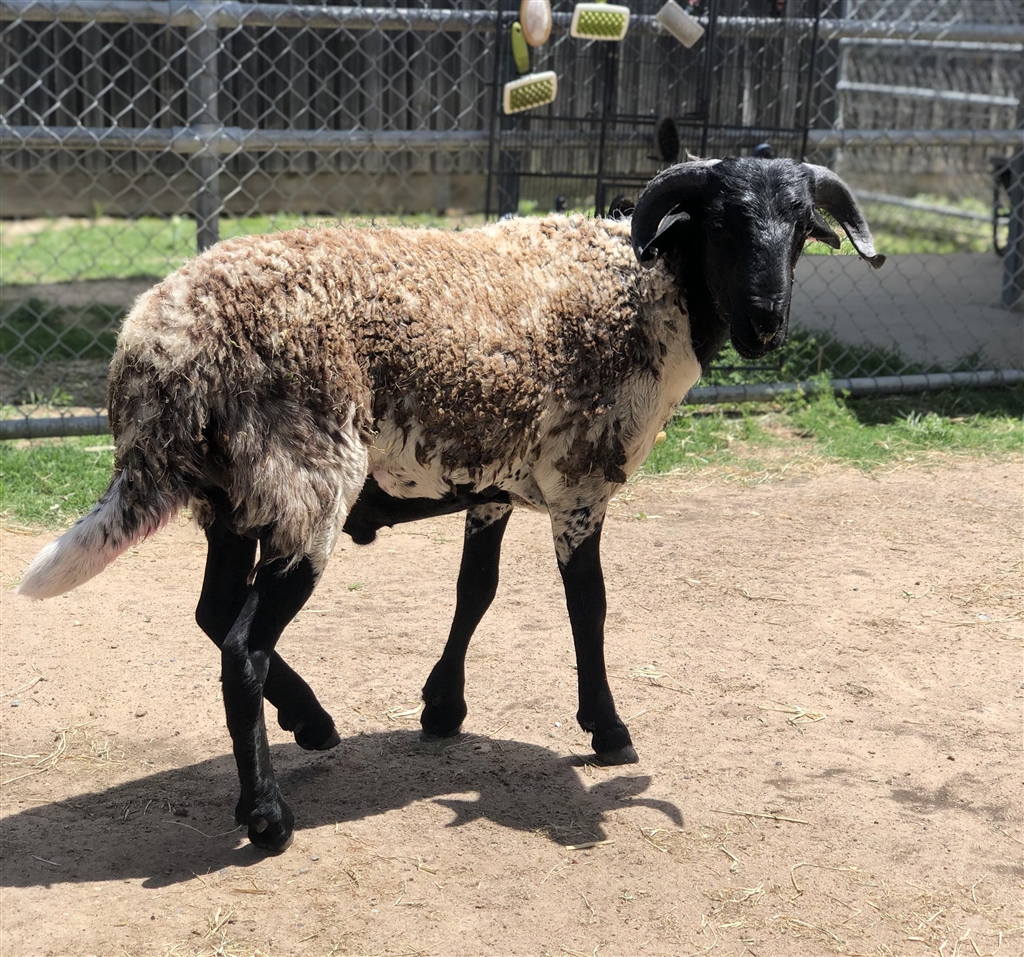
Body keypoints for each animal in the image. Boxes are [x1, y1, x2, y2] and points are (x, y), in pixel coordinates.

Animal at [16, 157, 884, 853]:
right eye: (721, 223)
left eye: (801, 228)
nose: (766, 323)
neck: (649, 289)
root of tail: (161, 349)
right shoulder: (580, 483)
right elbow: (589, 606)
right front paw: (608, 729)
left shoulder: (490, 481)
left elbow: (476, 590)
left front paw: (442, 706)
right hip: (306, 477)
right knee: (241, 643)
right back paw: (267, 813)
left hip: (235, 495)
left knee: (212, 610)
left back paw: (313, 722)